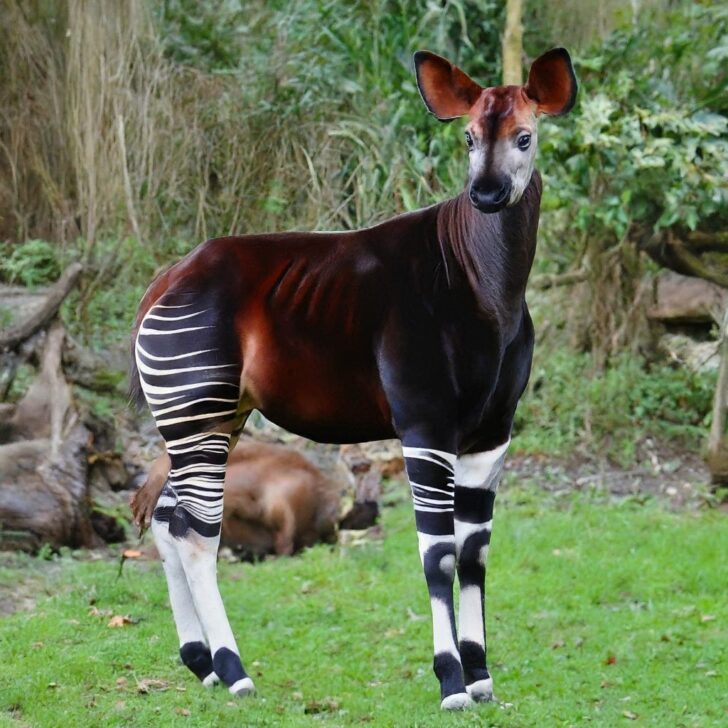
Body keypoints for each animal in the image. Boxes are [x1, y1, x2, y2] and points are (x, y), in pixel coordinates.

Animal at [129, 47, 577, 710]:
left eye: (525, 137)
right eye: (468, 138)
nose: (487, 193)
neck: (486, 286)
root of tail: (166, 279)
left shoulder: (491, 433)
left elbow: (474, 554)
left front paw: (480, 676)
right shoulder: (425, 425)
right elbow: (438, 555)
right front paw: (451, 682)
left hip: (216, 417)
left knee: (166, 518)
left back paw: (201, 664)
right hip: (199, 413)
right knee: (195, 535)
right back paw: (235, 671)